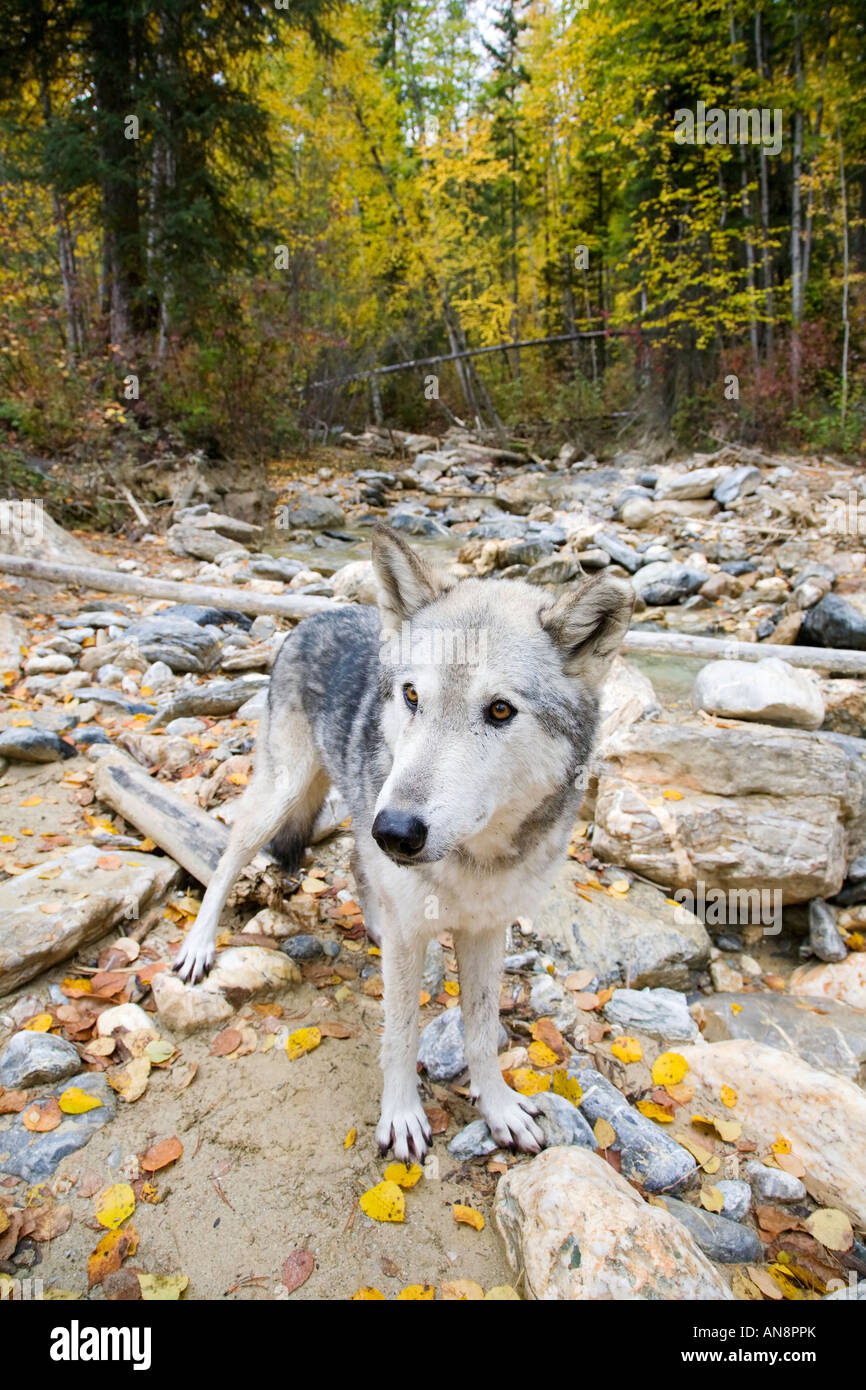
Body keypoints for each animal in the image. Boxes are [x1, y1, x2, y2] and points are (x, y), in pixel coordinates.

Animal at [174, 525, 633, 1160]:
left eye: (500, 710)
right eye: (413, 696)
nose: (395, 830)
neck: (475, 861)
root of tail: (322, 613)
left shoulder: (487, 930)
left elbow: (481, 1031)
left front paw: (498, 1108)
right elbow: (401, 1031)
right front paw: (401, 1116)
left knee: (356, 863)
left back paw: (371, 922)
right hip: (283, 796)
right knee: (226, 864)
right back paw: (198, 948)